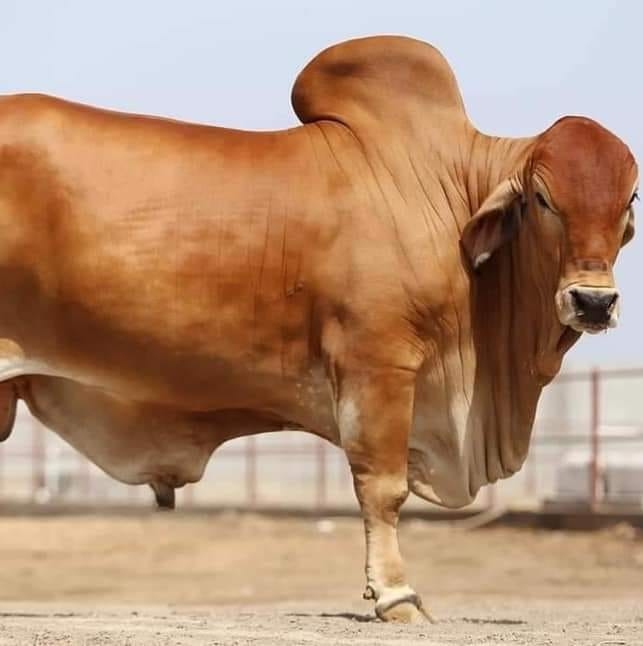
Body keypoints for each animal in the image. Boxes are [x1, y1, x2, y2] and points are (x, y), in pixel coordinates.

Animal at [0, 35, 637, 622]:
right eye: (543, 198)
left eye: (631, 199)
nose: (592, 301)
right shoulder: (378, 363)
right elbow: (382, 487)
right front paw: (397, 597)